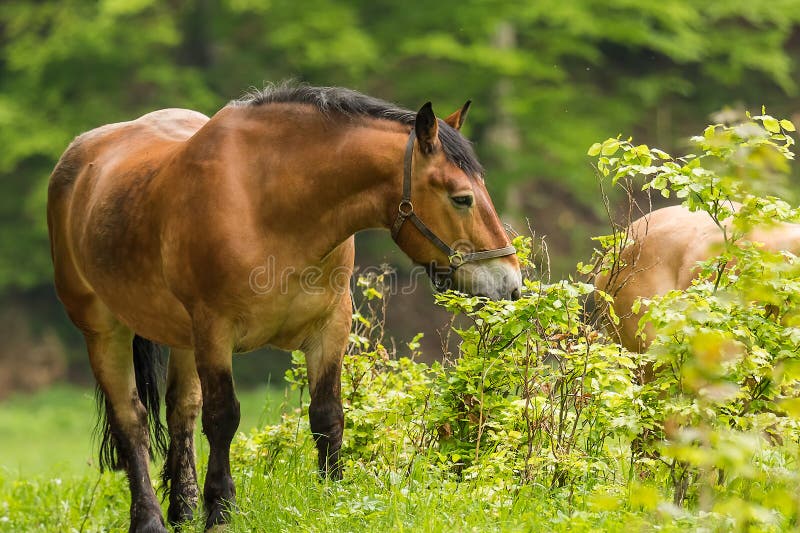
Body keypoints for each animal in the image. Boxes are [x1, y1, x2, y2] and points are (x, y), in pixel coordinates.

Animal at [46, 84, 521, 532]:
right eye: (462, 198)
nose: (511, 284)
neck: (271, 205)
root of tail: (80, 155)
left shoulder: (330, 327)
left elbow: (327, 415)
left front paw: (333, 498)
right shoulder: (215, 331)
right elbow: (223, 418)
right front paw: (221, 511)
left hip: (181, 338)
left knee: (180, 412)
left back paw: (182, 512)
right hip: (103, 332)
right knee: (132, 422)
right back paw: (149, 520)